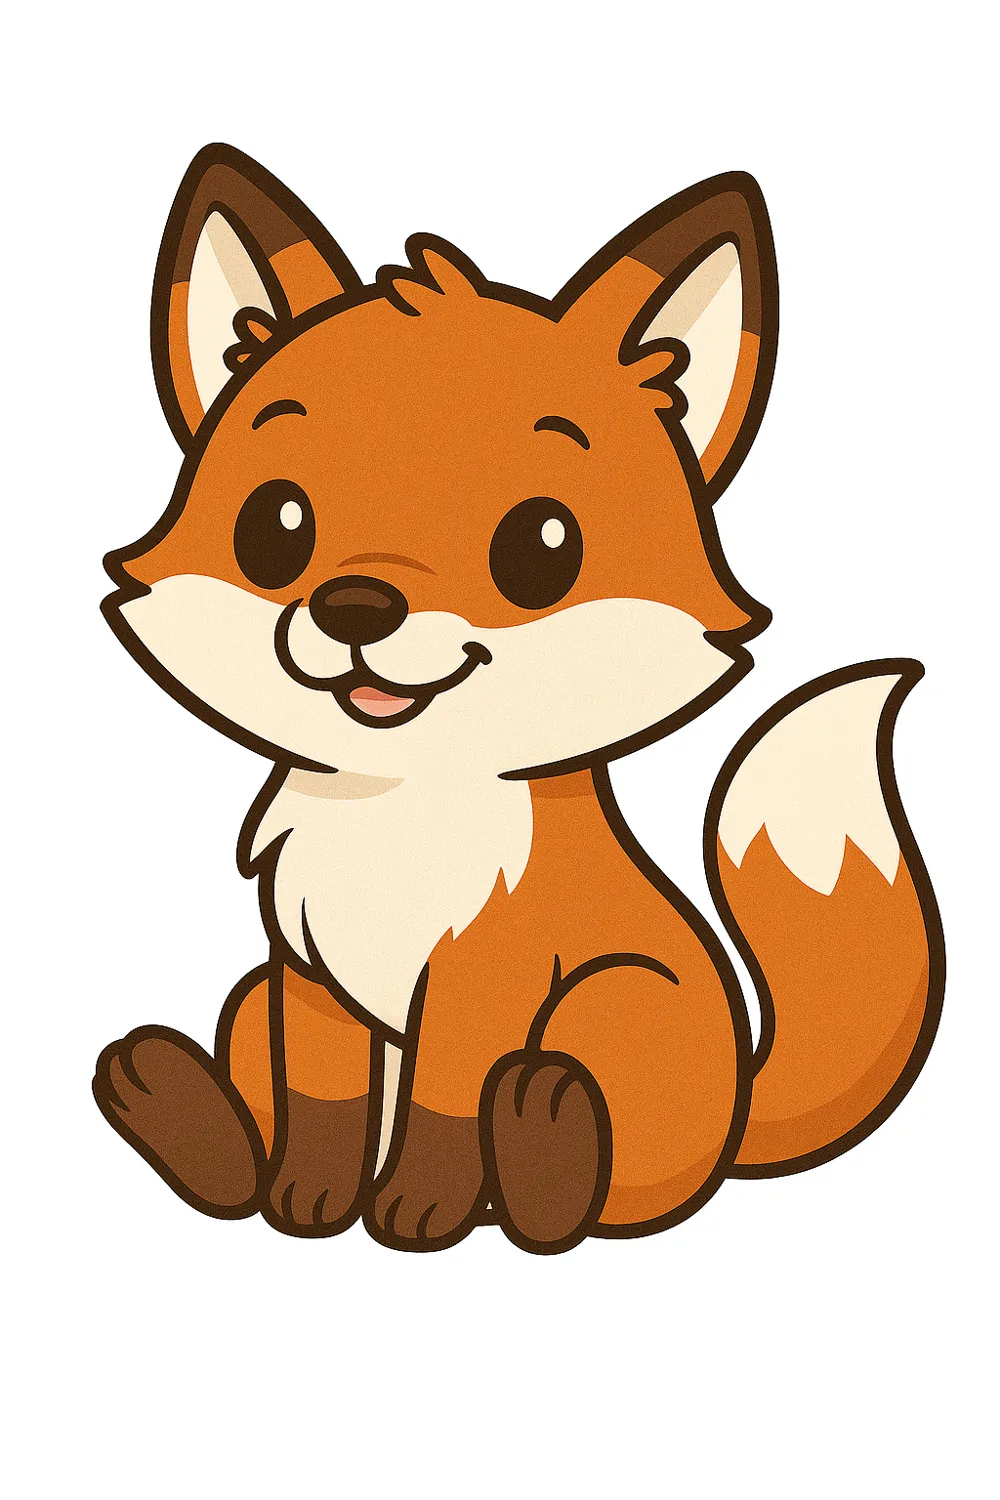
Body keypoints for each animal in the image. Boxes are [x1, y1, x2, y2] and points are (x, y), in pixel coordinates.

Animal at [94, 144, 944, 1254]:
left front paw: (418, 1211)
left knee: (617, 1185)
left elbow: (445, 1109)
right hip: (247, 1003)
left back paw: (547, 1140)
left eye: (542, 547)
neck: (401, 820)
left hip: (612, 1001)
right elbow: (324, 1109)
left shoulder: (483, 983)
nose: (355, 605)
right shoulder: (305, 980)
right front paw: (308, 1202)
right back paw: (183, 1115)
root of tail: (742, 1109)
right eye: (275, 527)